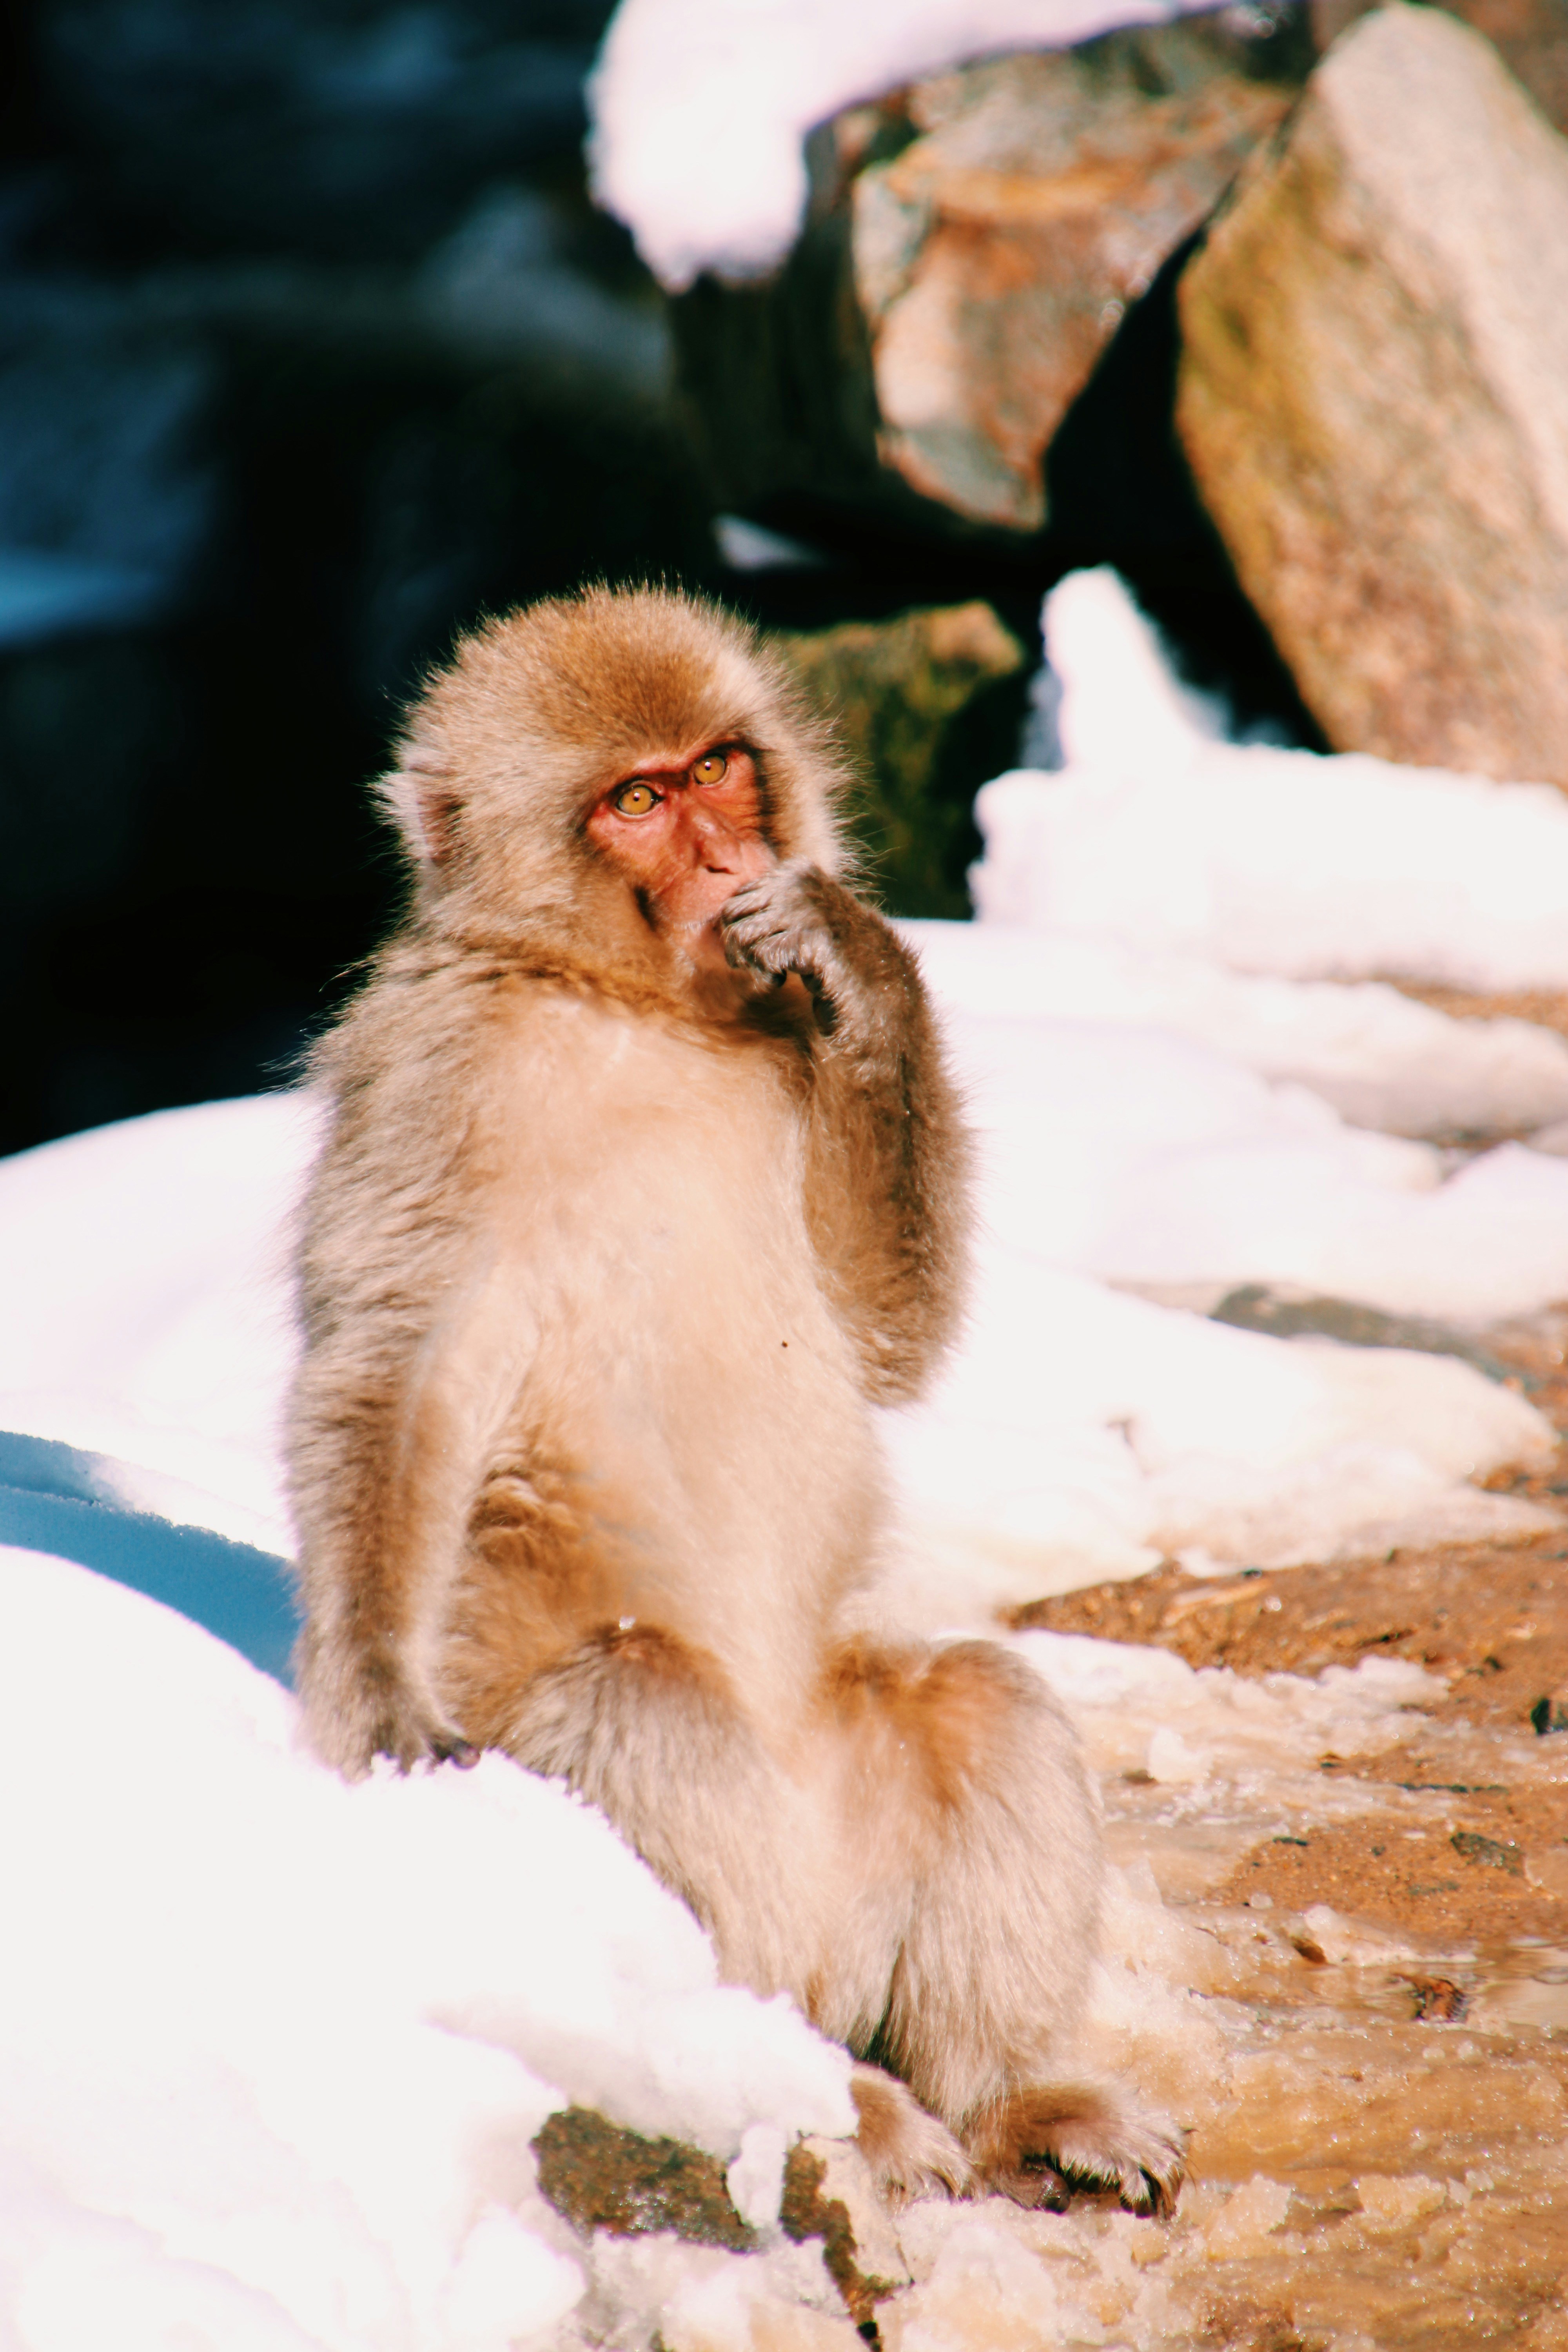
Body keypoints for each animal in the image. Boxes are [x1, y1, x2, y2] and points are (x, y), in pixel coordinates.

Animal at [286, 583, 1183, 2216]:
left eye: (715, 772)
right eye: (635, 805)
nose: (718, 860)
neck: (639, 1004)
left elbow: (883, 1333)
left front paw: (862, 966)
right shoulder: (431, 1067)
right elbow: (395, 1360)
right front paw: (375, 1695)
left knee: (979, 1696)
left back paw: (1007, 2101)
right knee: (641, 1709)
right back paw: (824, 2097)